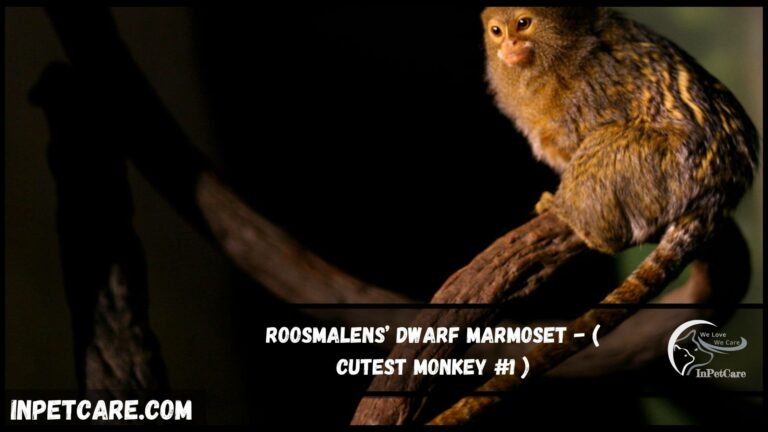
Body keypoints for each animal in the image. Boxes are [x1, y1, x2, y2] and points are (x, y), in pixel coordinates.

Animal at [428, 7, 758, 424]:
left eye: (524, 24)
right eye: (497, 31)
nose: (510, 45)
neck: (562, 55)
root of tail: (721, 185)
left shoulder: (592, 94)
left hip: (664, 169)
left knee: (604, 149)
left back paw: (578, 220)